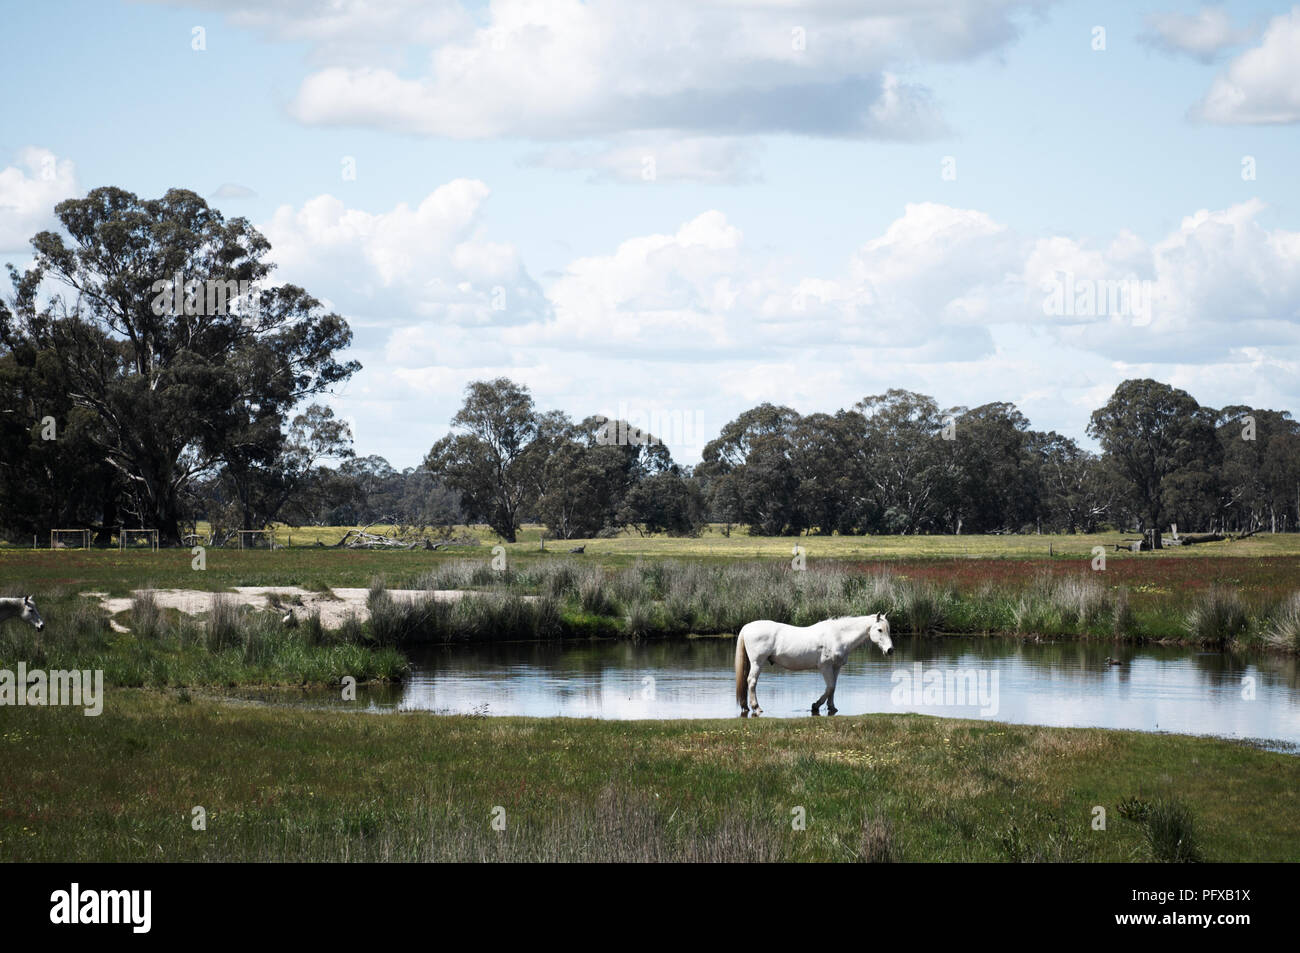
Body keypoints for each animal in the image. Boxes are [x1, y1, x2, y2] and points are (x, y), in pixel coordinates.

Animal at [735, 613, 892, 716]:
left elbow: (833, 687)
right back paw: (756, 707)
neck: (838, 636)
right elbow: (830, 687)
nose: (890, 650)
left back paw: (746, 707)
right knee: (751, 682)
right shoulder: (825, 667)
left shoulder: (836, 667)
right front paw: (816, 705)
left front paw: (831, 707)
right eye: (879, 630)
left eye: (888, 629)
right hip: (757, 662)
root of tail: (747, 627)